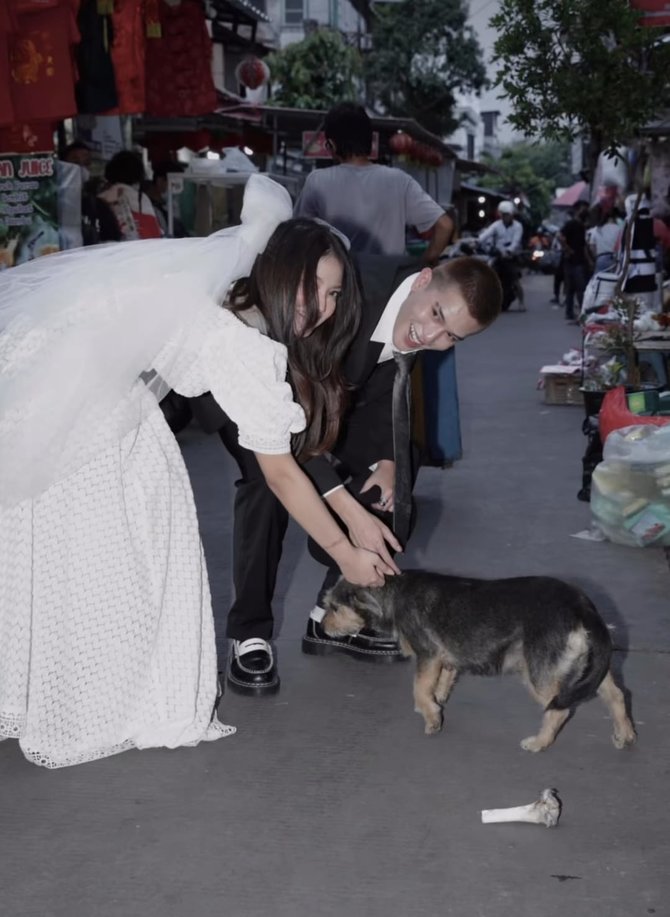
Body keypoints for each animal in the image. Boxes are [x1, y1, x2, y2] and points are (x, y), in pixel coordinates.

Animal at [322, 572, 636, 752]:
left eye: (335, 607)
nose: (323, 628)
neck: (394, 592)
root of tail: (581, 606)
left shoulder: (428, 655)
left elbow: (419, 689)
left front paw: (431, 718)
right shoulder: (446, 661)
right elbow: (440, 686)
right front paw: (437, 708)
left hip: (539, 674)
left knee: (558, 710)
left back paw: (538, 743)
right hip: (590, 670)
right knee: (617, 694)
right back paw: (625, 734)